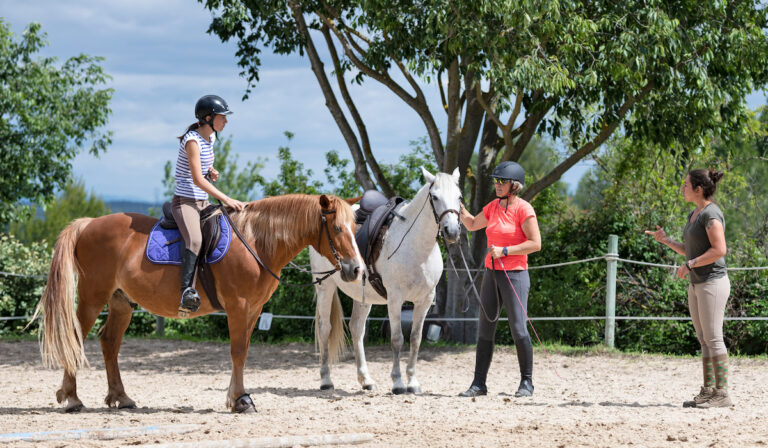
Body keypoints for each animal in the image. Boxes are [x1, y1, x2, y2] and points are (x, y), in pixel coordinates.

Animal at [32, 194, 363, 413]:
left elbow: (243, 351)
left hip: (121, 302)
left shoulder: (254, 309)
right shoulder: (238, 306)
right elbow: (238, 351)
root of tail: (87, 225)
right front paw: (240, 400)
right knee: (75, 338)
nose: (356, 270)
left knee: (109, 342)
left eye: (355, 228)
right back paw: (72, 398)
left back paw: (121, 398)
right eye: (336, 229)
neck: (255, 242)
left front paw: (235, 396)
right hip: (93, 297)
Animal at [309, 167, 462, 394]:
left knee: (357, 329)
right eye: (435, 197)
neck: (416, 246)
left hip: (362, 296)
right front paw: (398, 383)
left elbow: (416, 339)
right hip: (324, 287)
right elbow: (397, 339)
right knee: (324, 329)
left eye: (459, 197)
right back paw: (326, 380)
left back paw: (366, 380)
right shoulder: (395, 299)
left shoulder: (424, 301)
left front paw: (413, 383)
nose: (452, 231)